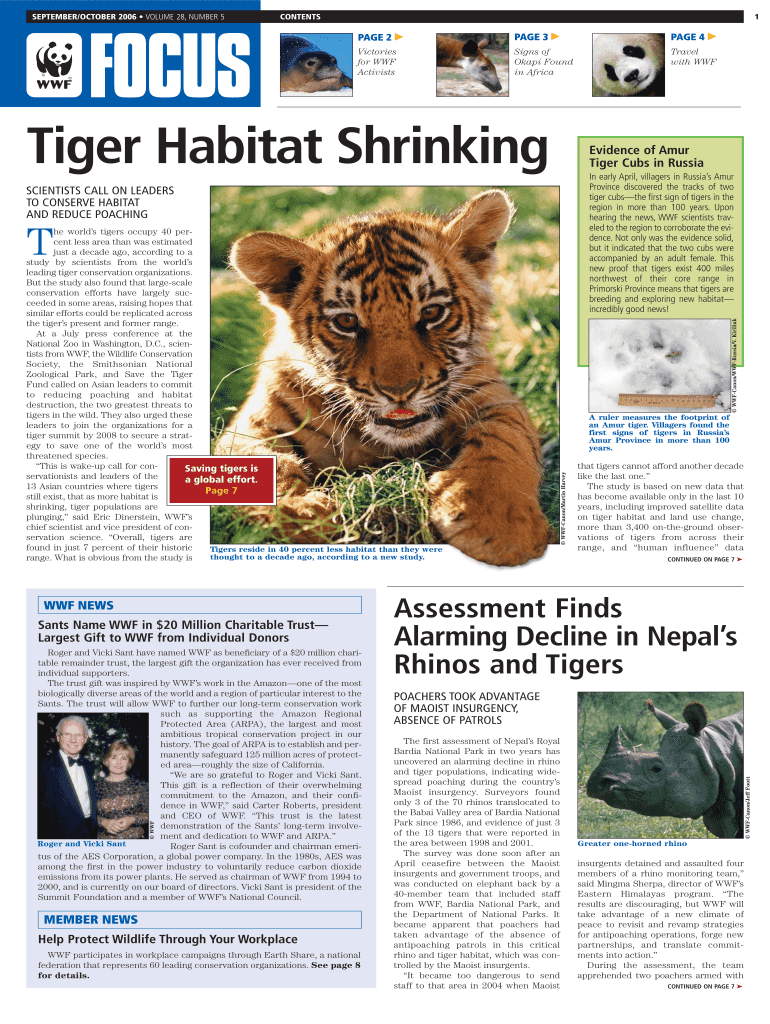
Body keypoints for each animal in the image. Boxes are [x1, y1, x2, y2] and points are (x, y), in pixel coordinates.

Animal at [215, 189, 550, 567]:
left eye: (432, 312)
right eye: (346, 322)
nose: (400, 392)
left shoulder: (492, 396)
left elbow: (504, 442)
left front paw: (499, 523)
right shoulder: (251, 424)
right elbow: (263, 465)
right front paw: (298, 516)